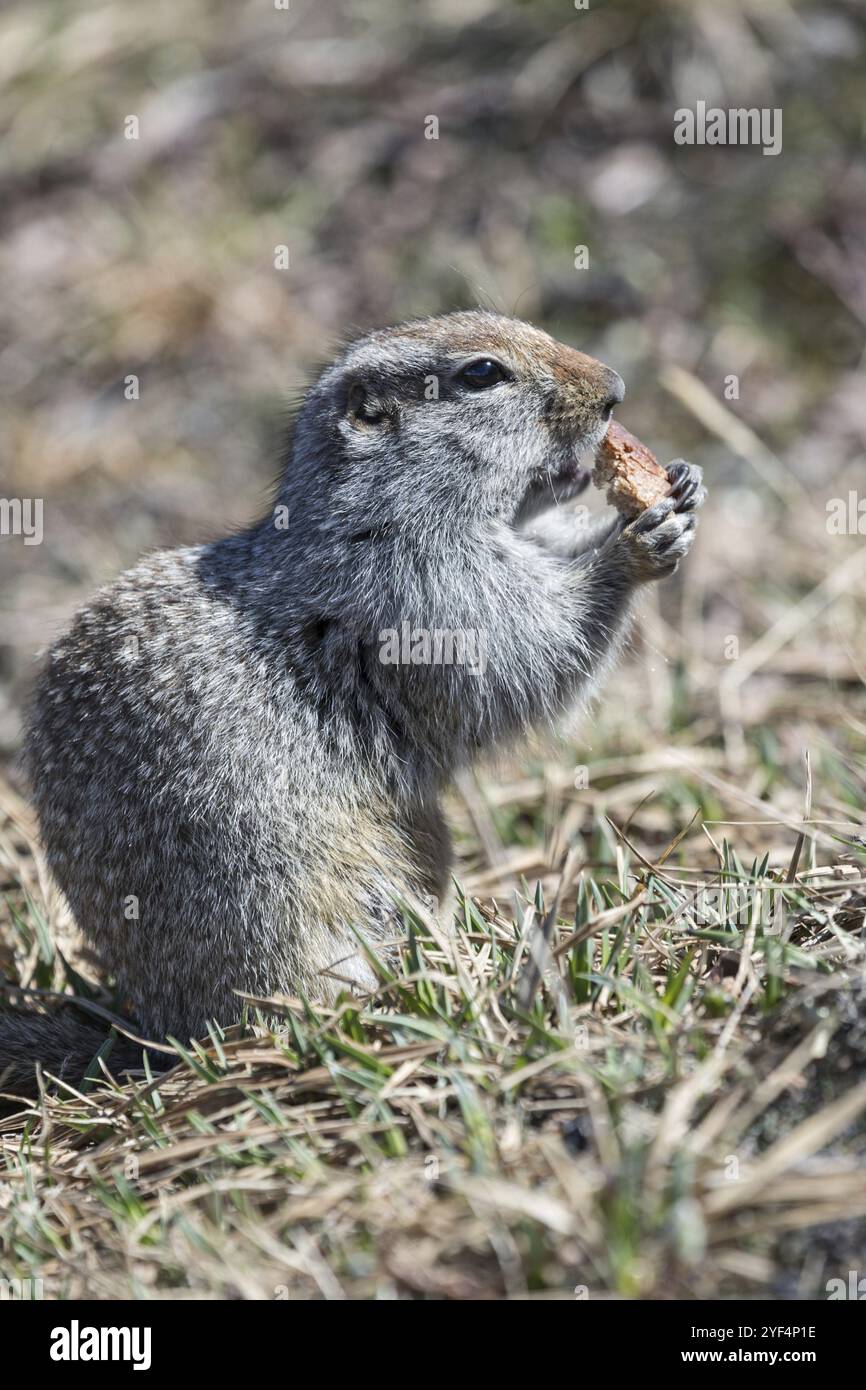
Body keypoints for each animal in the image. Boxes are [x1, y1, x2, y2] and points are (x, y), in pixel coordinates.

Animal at [2, 311, 705, 1094]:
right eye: (483, 374)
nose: (615, 389)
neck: (379, 513)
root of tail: (157, 1031)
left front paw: (681, 486)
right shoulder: (425, 590)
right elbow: (526, 647)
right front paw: (633, 546)